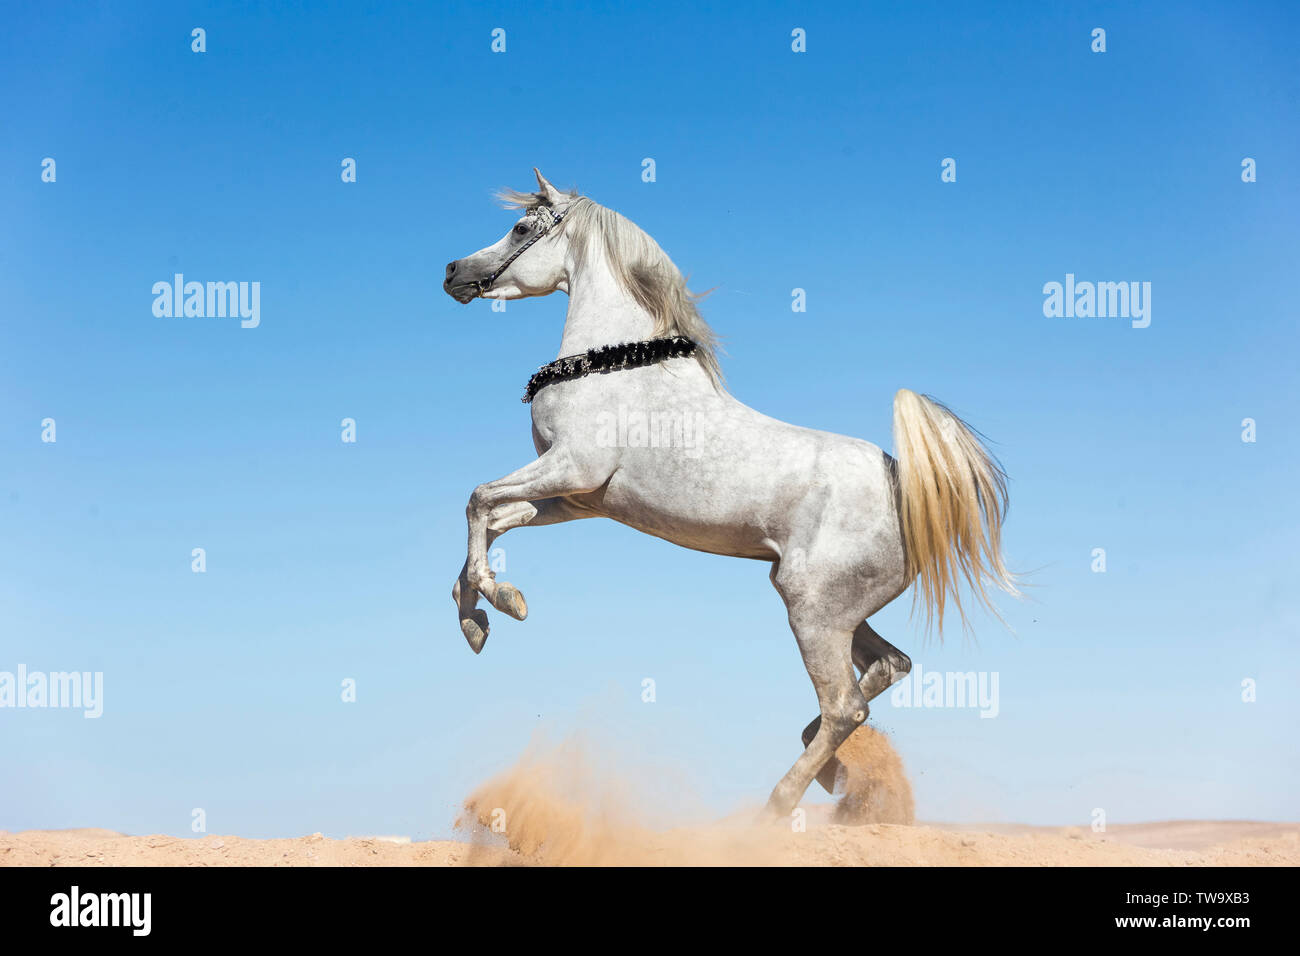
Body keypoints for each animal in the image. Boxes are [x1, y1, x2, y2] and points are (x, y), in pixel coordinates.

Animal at [443, 169, 1017, 816]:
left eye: (520, 228)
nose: (453, 272)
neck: (617, 364)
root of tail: (909, 490)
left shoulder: (571, 468)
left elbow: (477, 499)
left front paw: (501, 603)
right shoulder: (578, 499)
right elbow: (491, 520)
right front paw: (479, 617)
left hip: (814, 610)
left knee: (846, 705)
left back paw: (776, 807)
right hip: (832, 607)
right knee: (888, 669)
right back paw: (823, 763)